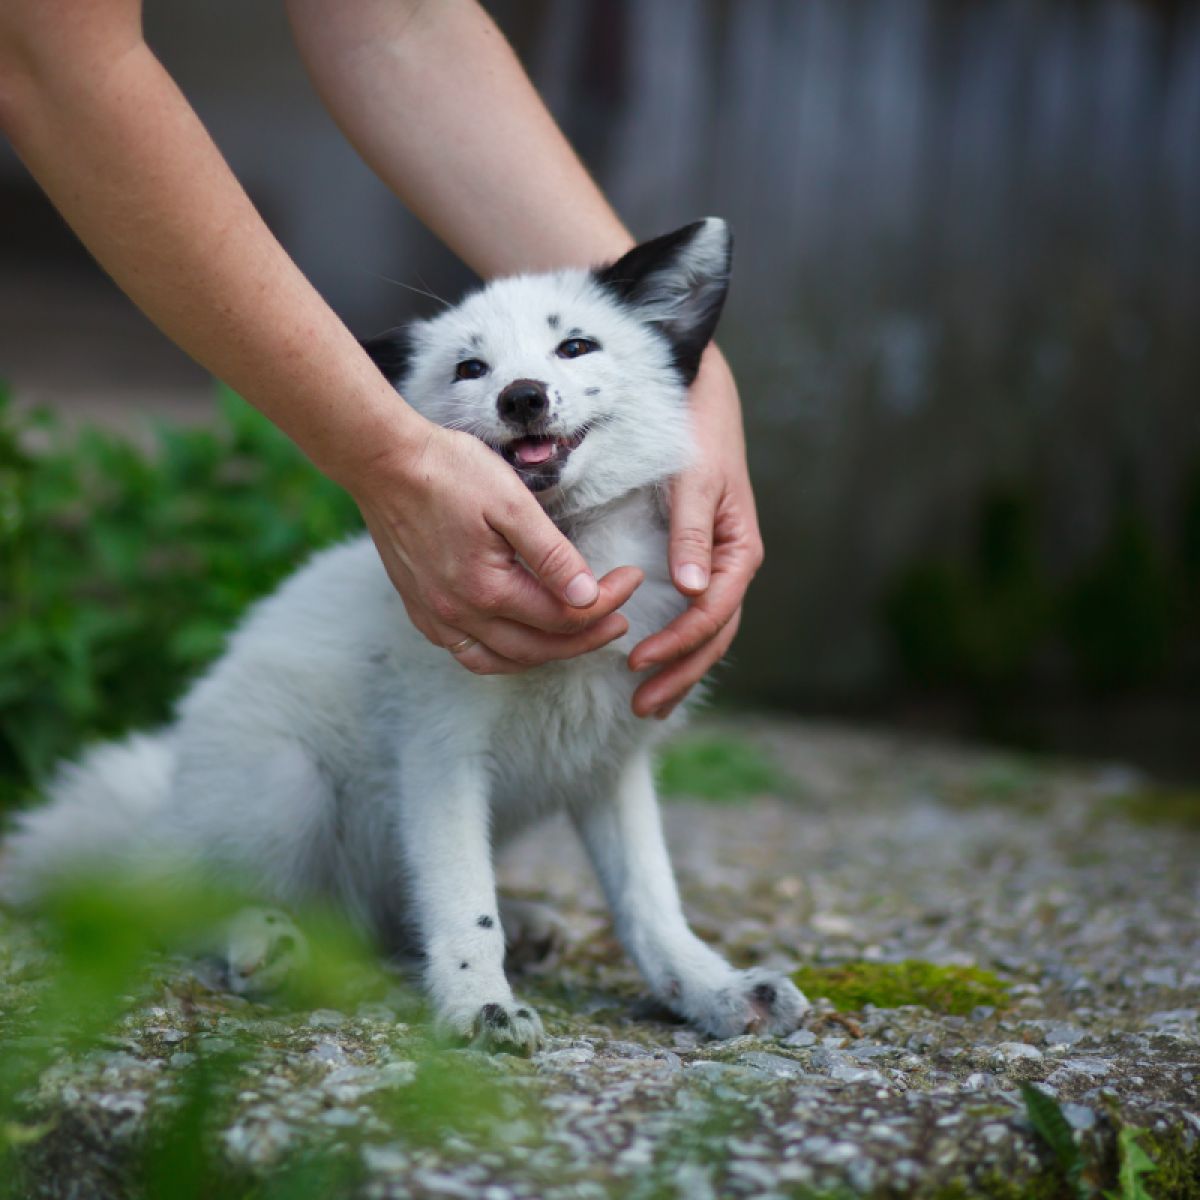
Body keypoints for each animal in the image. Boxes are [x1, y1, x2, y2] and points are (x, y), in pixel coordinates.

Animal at [1, 219, 807, 1053]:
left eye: (576, 347)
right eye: (470, 368)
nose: (522, 396)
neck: (569, 557)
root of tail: (162, 813)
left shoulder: (610, 764)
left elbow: (651, 902)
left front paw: (710, 988)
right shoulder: (441, 755)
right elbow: (462, 907)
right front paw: (480, 1007)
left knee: (390, 911)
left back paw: (519, 921)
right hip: (286, 787)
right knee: (176, 907)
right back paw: (265, 941)